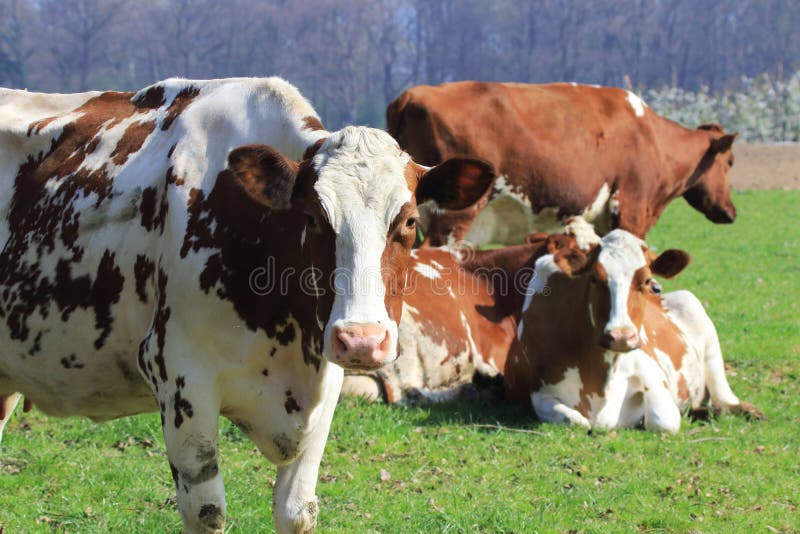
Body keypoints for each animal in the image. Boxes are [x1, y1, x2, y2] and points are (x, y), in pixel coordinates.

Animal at [0, 77, 495, 533]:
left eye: (408, 221)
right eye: (314, 217)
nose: (361, 341)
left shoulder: (326, 384)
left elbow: (297, 511)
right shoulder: (181, 378)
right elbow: (206, 511)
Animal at [387, 81, 738, 246]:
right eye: (731, 162)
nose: (731, 212)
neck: (652, 137)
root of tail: (411, 95)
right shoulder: (631, 211)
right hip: (451, 221)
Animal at [507, 228, 761, 433]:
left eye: (646, 280)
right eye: (595, 278)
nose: (620, 337)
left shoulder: (653, 372)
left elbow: (663, 421)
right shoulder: (538, 392)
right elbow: (576, 421)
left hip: (701, 323)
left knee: (724, 398)